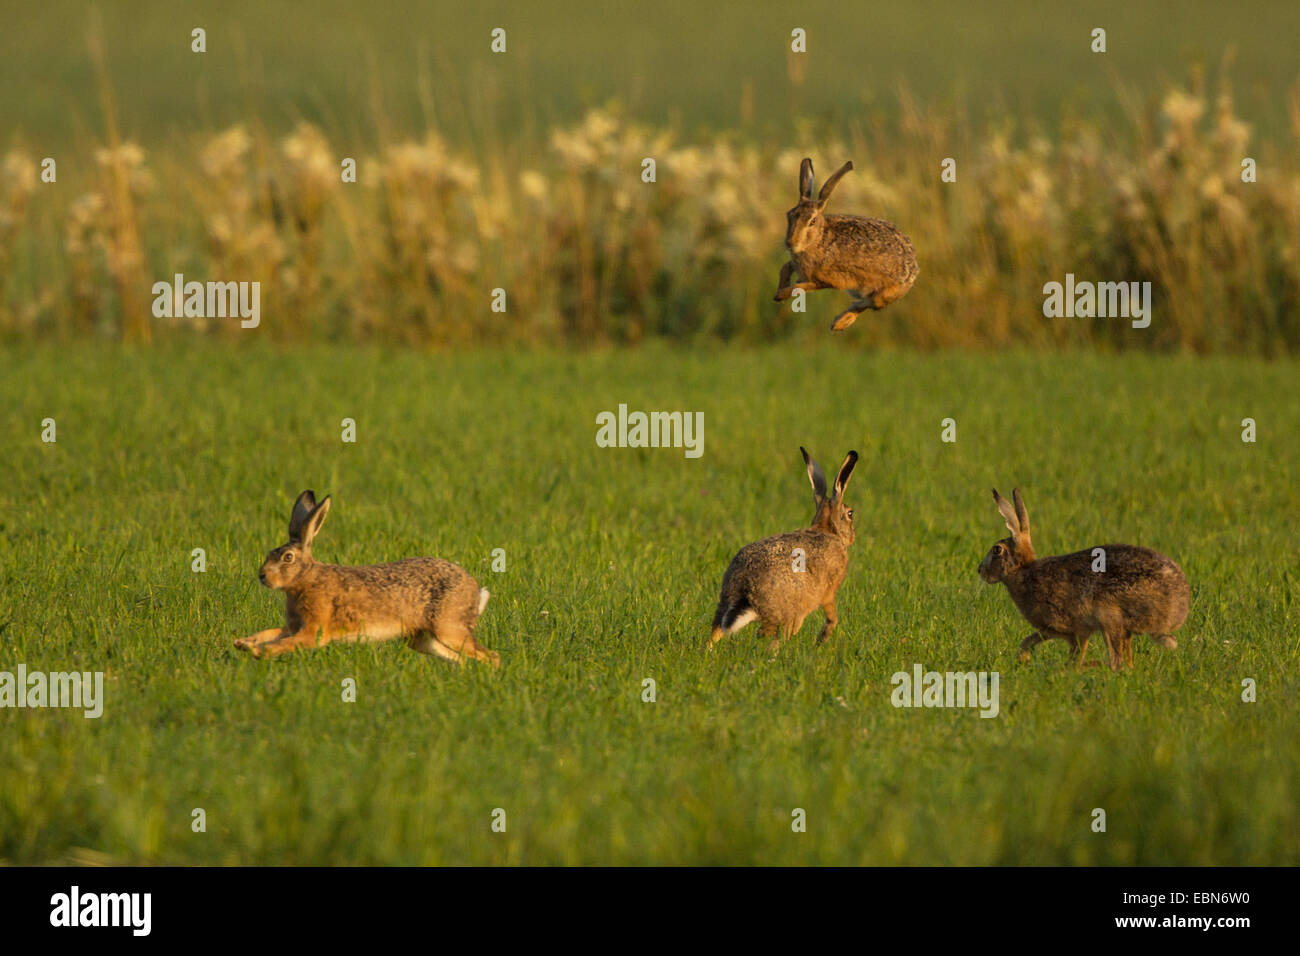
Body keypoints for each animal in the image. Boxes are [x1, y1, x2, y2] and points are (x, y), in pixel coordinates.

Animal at [234, 490, 500, 665]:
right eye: (270, 553)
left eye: (287, 558)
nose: (262, 576)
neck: (306, 578)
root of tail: (475, 591)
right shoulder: (294, 626)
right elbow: (271, 632)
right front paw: (243, 643)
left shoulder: (313, 630)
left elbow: (284, 643)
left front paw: (259, 652)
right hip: (424, 639)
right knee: (460, 658)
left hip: (449, 629)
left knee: (490, 657)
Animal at [708, 448, 858, 656]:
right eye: (850, 514)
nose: (853, 537)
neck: (827, 529)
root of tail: (744, 590)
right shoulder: (829, 592)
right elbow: (832, 618)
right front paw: (821, 640)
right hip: (790, 613)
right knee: (769, 636)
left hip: (723, 607)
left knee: (715, 633)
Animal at [774, 157, 919, 331]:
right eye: (789, 215)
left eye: (812, 221)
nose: (790, 243)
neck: (819, 240)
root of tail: (914, 270)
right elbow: (785, 267)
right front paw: (780, 289)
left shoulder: (827, 280)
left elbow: (800, 287)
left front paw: (781, 295)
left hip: (882, 293)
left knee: (866, 303)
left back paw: (840, 323)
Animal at [978, 488, 1189, 671]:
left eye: (997, 550)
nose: (980, 570)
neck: (1023, 571)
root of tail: (1176, 611)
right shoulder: (1052, 630)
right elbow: (1028, 640)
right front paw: (1023, 659)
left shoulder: (1076, 629)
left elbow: (1076, 655)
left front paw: (1064, 670)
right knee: (1126, 661)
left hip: (1109, 614)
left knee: (1117, 663)